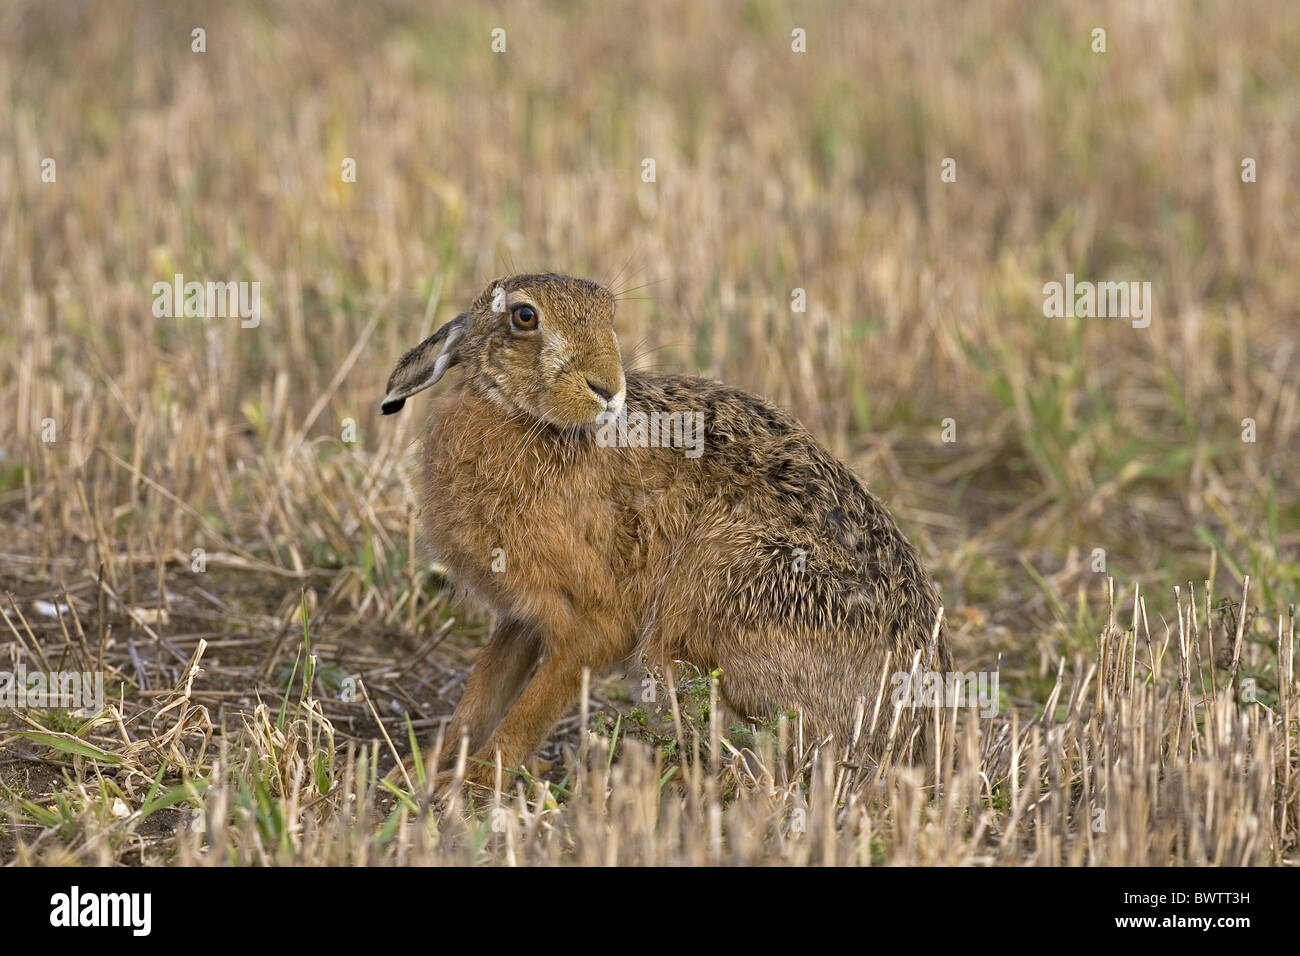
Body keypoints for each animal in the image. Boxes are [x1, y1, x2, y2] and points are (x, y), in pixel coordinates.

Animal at [382, 273, 951, 789]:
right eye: (525, 317)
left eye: (609, 314)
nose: (608, 389)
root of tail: (915, 731)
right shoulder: (523, 615)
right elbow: (481, 695)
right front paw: (420, 771)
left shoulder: (593, 621)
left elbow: (533, 708)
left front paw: (477, 781)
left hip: (723, 595)